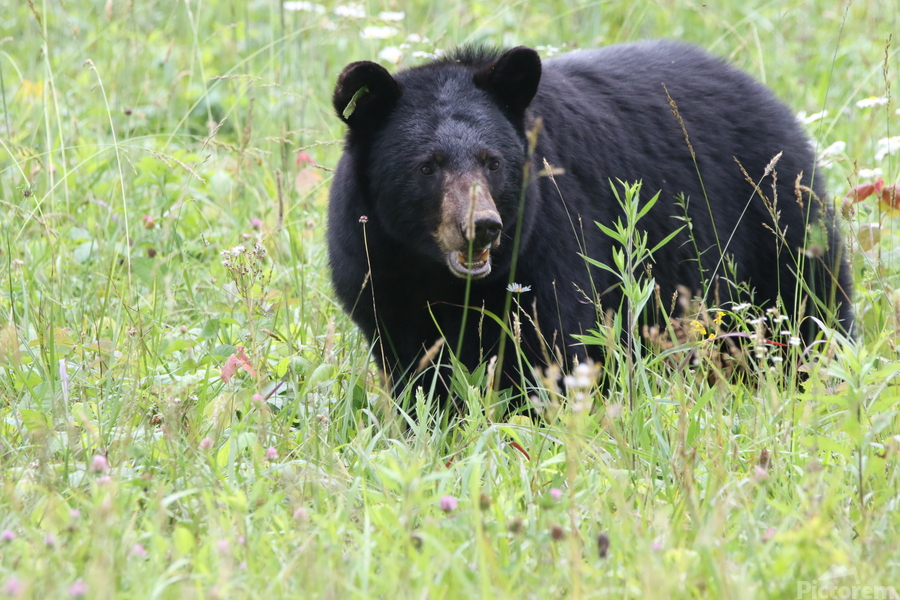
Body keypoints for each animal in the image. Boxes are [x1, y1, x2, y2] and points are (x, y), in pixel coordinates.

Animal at [327, 40, 853, 402]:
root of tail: (772, 101)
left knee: (807, 310)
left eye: (493, 162)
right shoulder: (377, 268)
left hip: (776, 223)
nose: (482, 226)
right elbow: (415, 365)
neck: (436, 273)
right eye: (427, 166)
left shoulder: (550, 240)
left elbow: (558, 342)